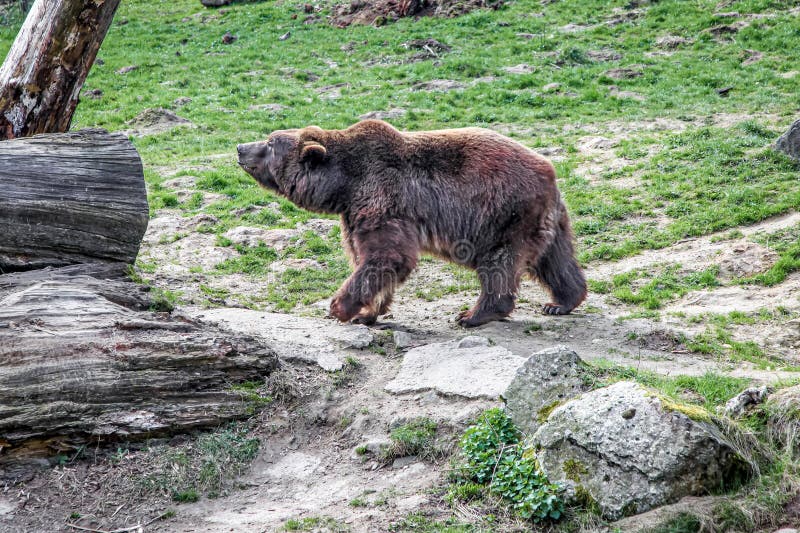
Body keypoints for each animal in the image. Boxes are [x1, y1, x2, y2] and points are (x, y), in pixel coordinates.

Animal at [237, 119, 586, 327]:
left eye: (270, 143)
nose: (240, 147)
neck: (344, 185)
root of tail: (550, 171)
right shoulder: (354, 213)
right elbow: (373, 259)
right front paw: (367, 312)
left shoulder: (384, 199)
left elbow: (386, 255)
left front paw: (338, 307)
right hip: (547, 220)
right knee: (556, 260)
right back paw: (562, 302)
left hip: (501, 215)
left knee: (500, 264)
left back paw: (473, 314)